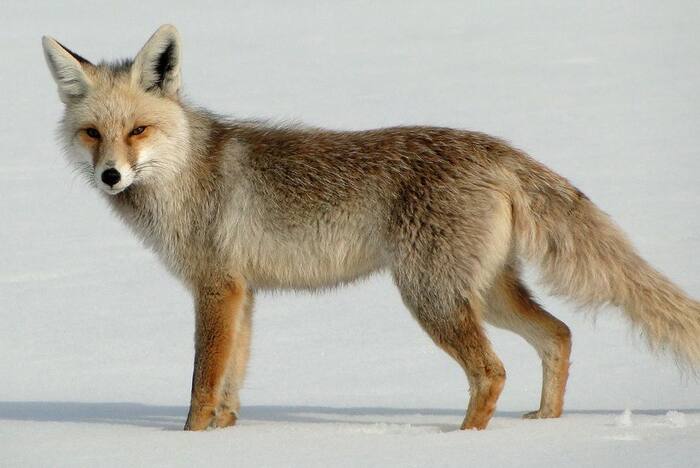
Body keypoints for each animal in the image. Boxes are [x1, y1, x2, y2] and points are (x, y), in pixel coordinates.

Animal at [42, 24, 700, 431]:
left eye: (138, 131)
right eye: (93, 133)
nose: (110, 175)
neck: (186, 174)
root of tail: (497, 148)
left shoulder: (216, 288)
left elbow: (203, 385)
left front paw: (189, 442)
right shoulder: (242, 292)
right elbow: (232, 384)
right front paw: (226, 437)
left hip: (431, 297)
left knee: (491, 372)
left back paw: (460, 443)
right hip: (485, 293)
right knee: (558, 335)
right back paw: (545, 426)